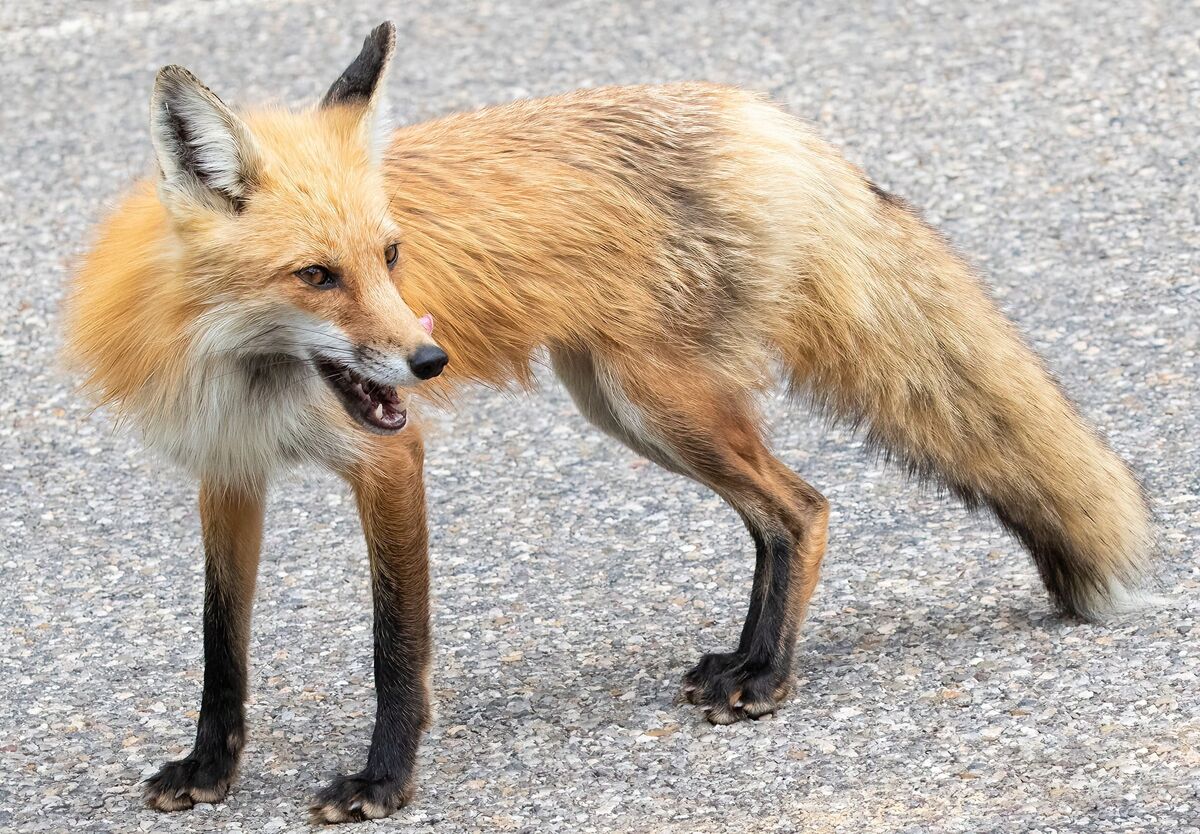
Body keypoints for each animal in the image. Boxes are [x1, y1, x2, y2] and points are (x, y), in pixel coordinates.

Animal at [64, 21, 1155, 825]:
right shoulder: (228, 473)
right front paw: (210, 768)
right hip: (631, 410)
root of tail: (766, 119)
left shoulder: (389, 457)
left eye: (391, 256)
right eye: (317, 276)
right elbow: (221, 648)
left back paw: (769, 676)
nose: (428, 361)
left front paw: (383, 781)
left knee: (805, 507)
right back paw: (742, 660)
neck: (241, 369)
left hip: (658, 401)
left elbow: (395, 645)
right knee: (776, 517)